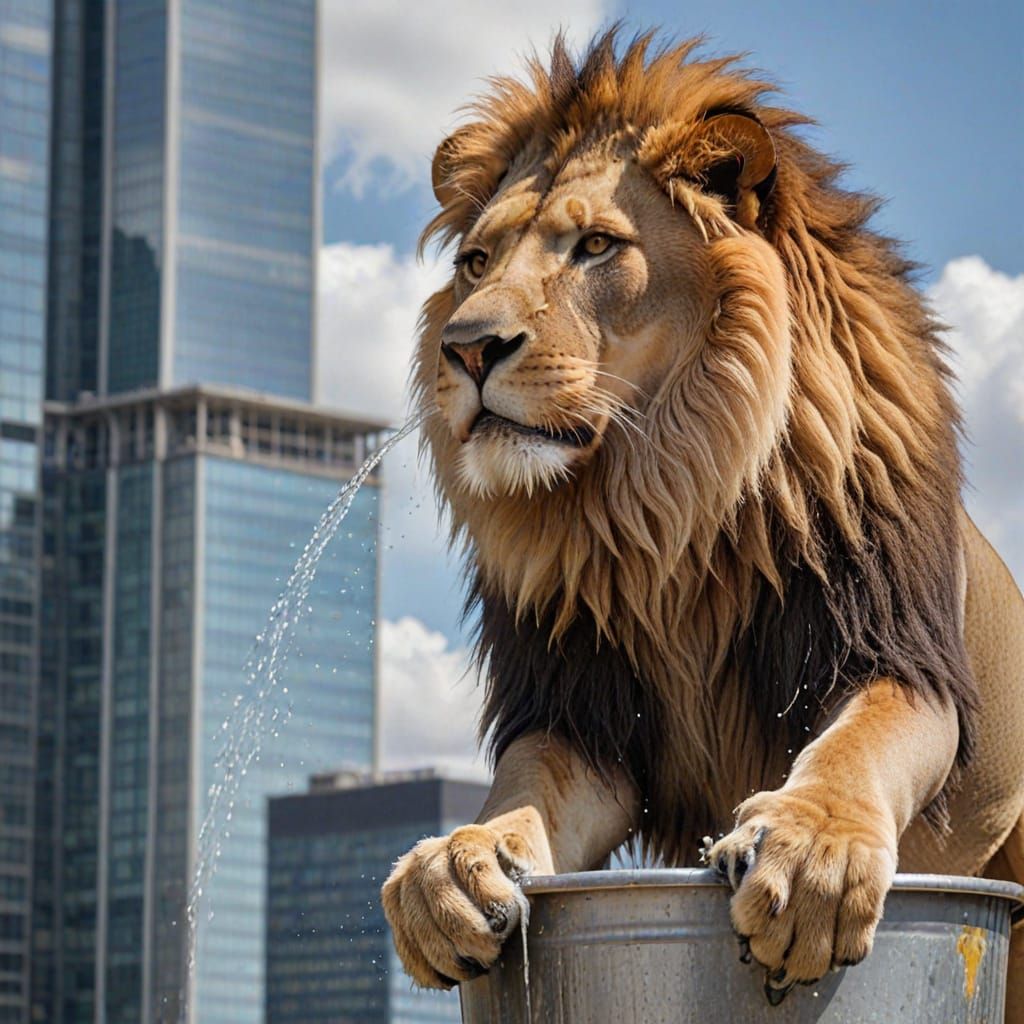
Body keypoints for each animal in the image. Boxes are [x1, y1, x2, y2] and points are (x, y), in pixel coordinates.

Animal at [381, 31, 1024, 1013]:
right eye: (477, 263)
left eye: (596, 245)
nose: (467, 347)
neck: (663, 501)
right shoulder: (581, 715)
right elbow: (524, 788)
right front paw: (456, 864)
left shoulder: (895, 651)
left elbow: (855, 745)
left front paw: (810, 854)